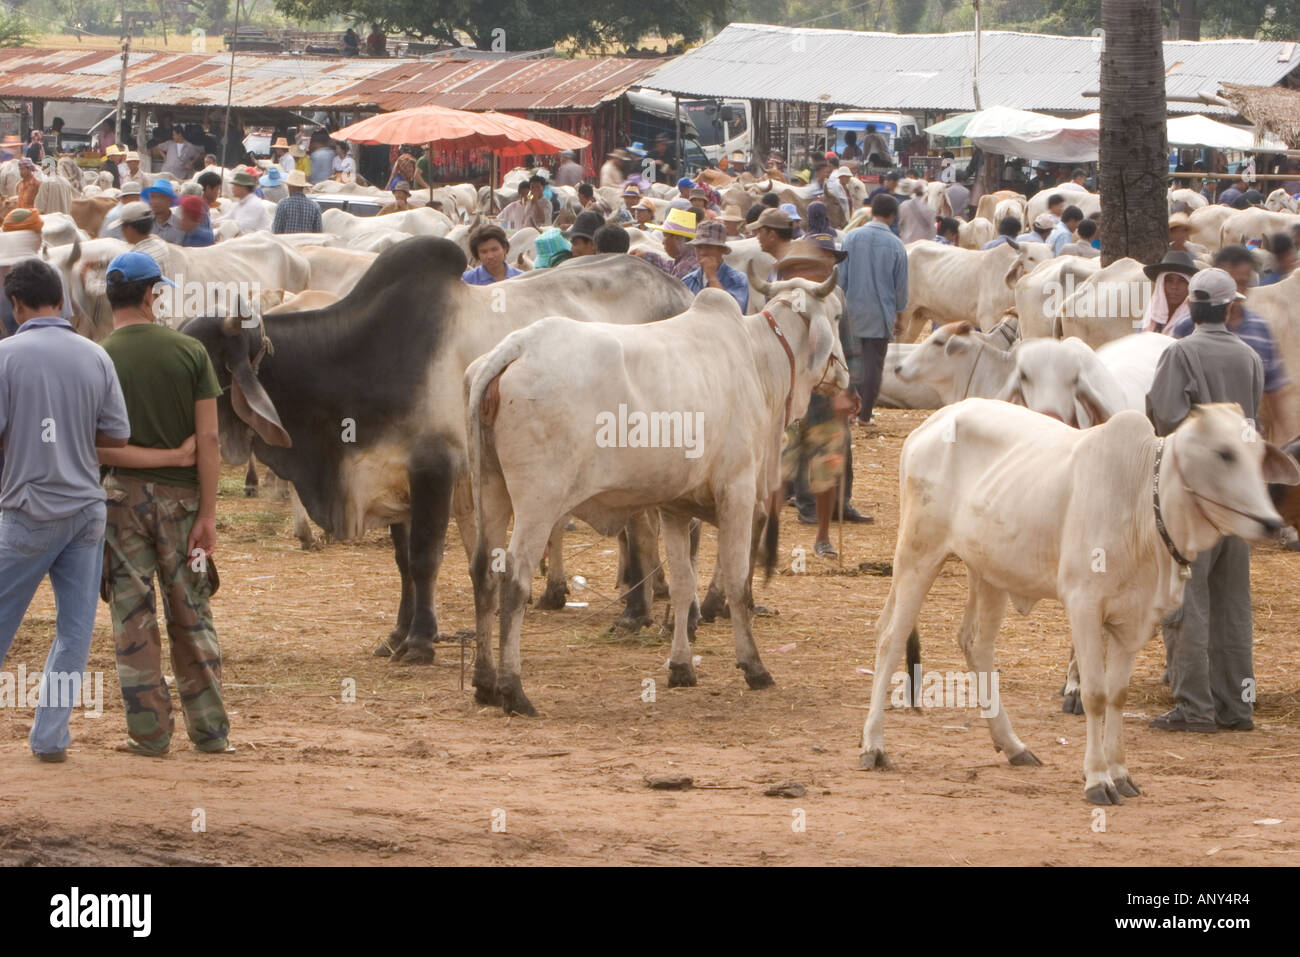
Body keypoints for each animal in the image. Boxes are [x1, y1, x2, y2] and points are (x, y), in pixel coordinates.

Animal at [180, 239, 695, 665]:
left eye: (203, 359)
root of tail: (679, 290)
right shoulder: (395, 478)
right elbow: (404, 563)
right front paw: (396, 634)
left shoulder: (434, 470)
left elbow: (426, 556)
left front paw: (420, 641)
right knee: (639, 527)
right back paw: (635, 614)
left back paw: (679, 617)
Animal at [463, 276, 849, 715]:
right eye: (838, 315)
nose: (844, 375)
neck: (755, 358)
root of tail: (516, 346)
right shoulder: (737, 493)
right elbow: (736, 582)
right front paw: (753, 666)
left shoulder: (675, 508)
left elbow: (683, 584)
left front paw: (681, 667)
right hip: (537, 502)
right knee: (514, 578)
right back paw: (513, 689)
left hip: (489, 488)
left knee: (483, 571)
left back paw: (485, 683)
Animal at [858, 399, 1299, 804]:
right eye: (1224, 453)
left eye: (1258, 455)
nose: (1271, 523)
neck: (1143, 500)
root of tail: (934, 420)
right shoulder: (1084, 605)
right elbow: (1095, 695)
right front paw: (1098, 780)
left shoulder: (1135, 619)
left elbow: (1117, 694)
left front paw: (1120, 773)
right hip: (918, 552)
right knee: (890, 638)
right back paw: (874, 746)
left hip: (989, 572)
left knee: (975, 643)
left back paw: (1013, 745)